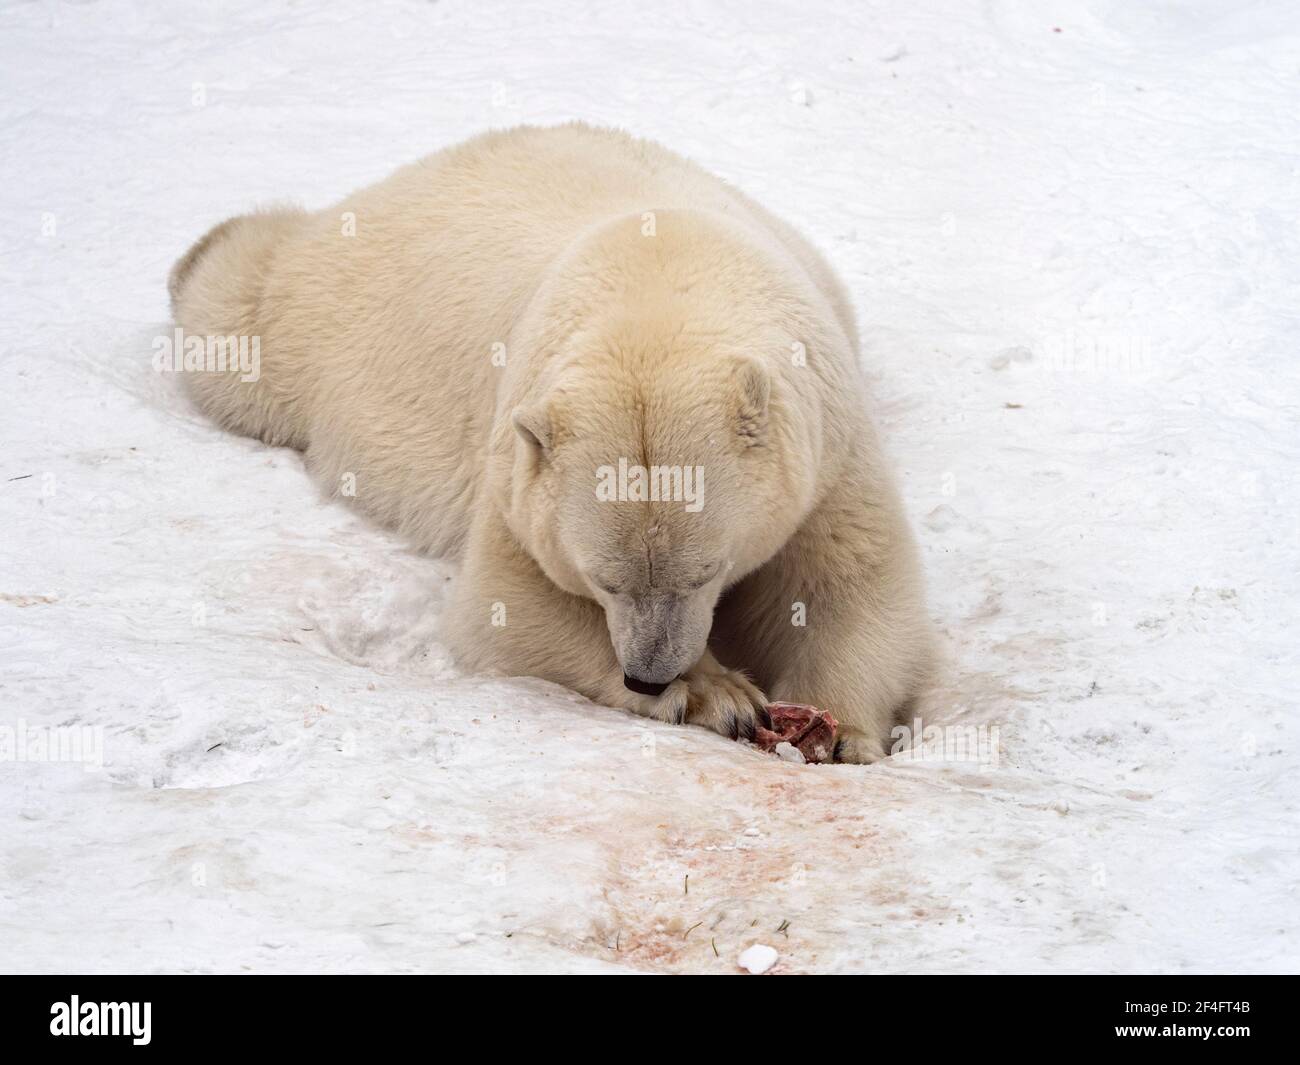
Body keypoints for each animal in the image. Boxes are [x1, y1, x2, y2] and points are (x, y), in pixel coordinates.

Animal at [169, 122, 933, 763]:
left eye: (705, 571)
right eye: (603, 579)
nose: (648, 675)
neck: (659, 276)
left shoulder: (826, 436)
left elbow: (849, 576)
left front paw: (837, 731)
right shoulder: (516, 466)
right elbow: (509, 602)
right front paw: (718, 695)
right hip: (316, 322)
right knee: (234, 319)